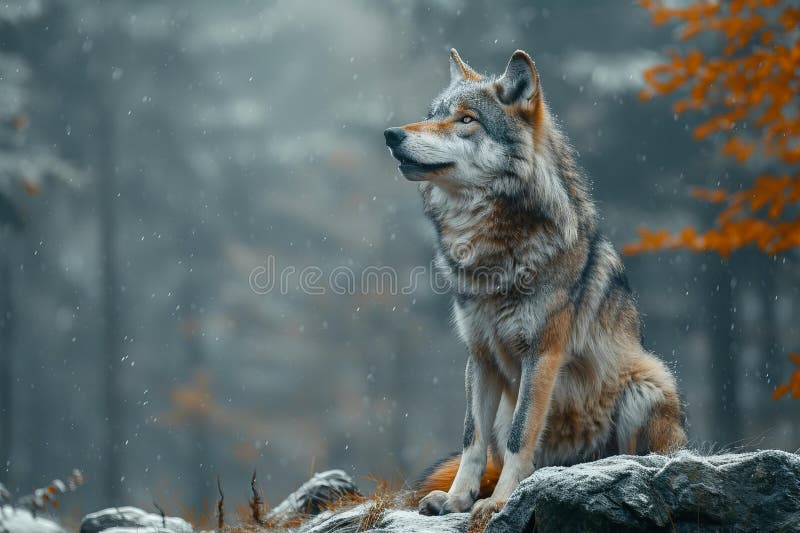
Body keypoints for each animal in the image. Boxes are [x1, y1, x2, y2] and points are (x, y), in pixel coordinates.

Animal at [383, 49, 686, 517]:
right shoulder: (479, 357)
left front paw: (502, 501)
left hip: (649, 380)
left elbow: (520, 436)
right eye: (431, 116)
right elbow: (472, 440)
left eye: (466, 119)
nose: (391, 134)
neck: (491, 253)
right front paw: (458, 500)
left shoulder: (541, 353)